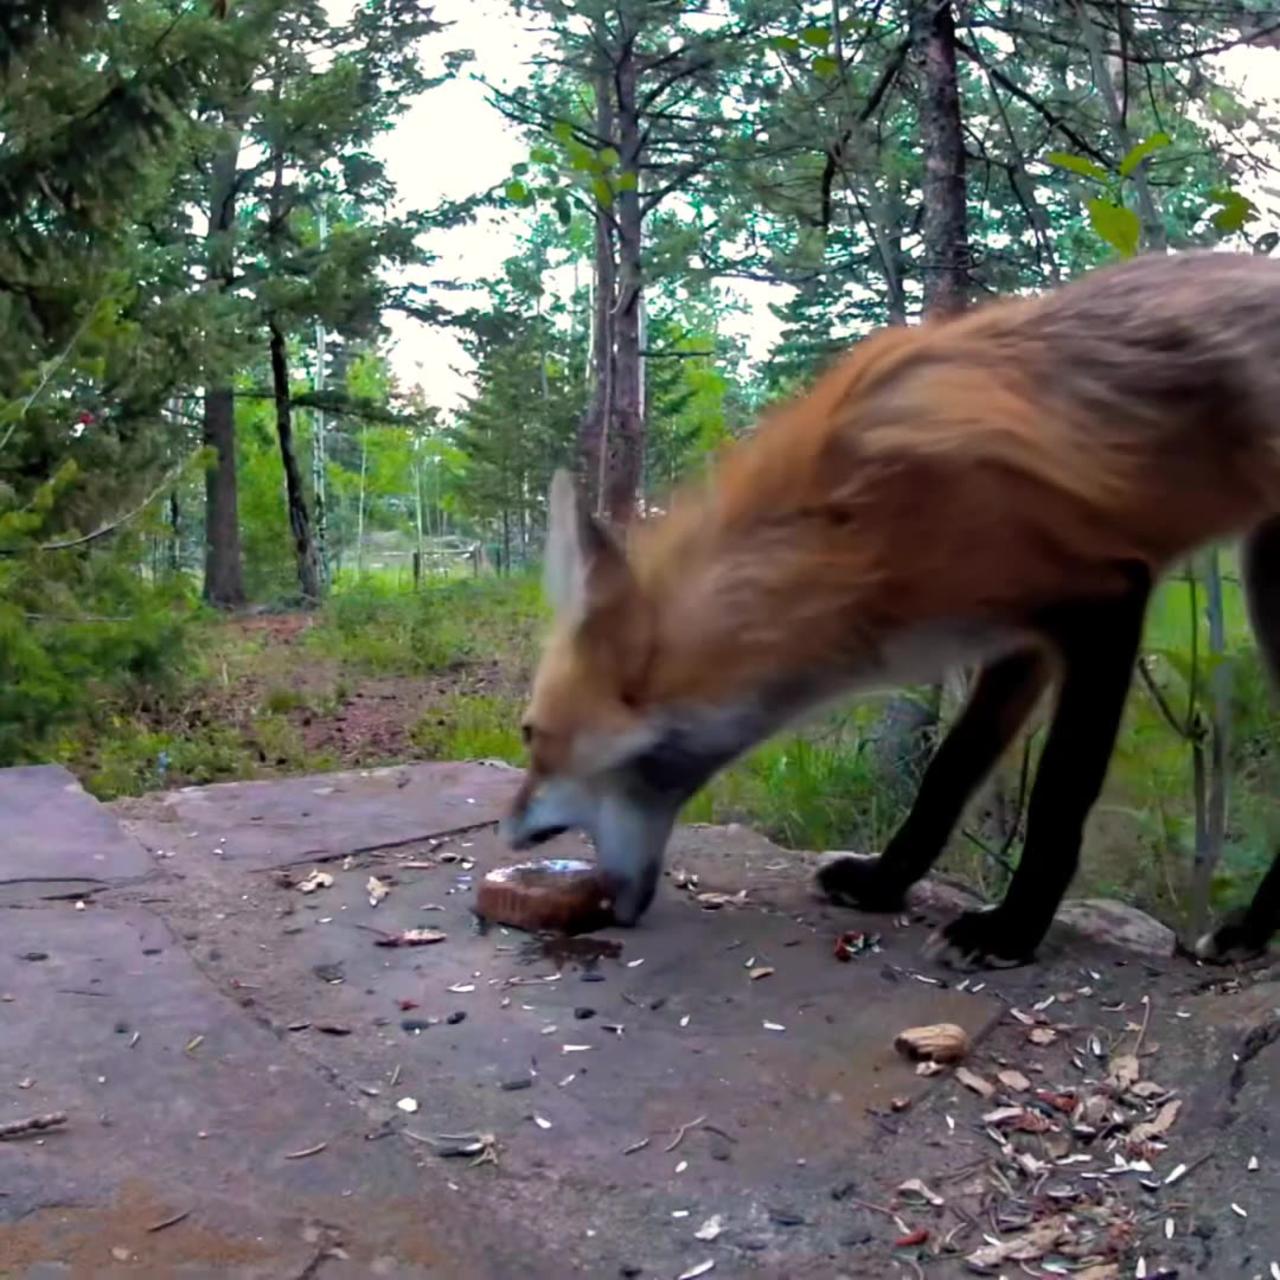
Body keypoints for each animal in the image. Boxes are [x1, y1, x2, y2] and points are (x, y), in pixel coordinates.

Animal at [502, 249, 1280, 969]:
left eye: (529, 733)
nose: (506, 831)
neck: (848, 536)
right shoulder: (1015, 638)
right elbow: (947, 773)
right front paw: (884, 883)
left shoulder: (1105, 600)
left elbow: (1057, 795)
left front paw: (1013, 930)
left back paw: (1248, 931)